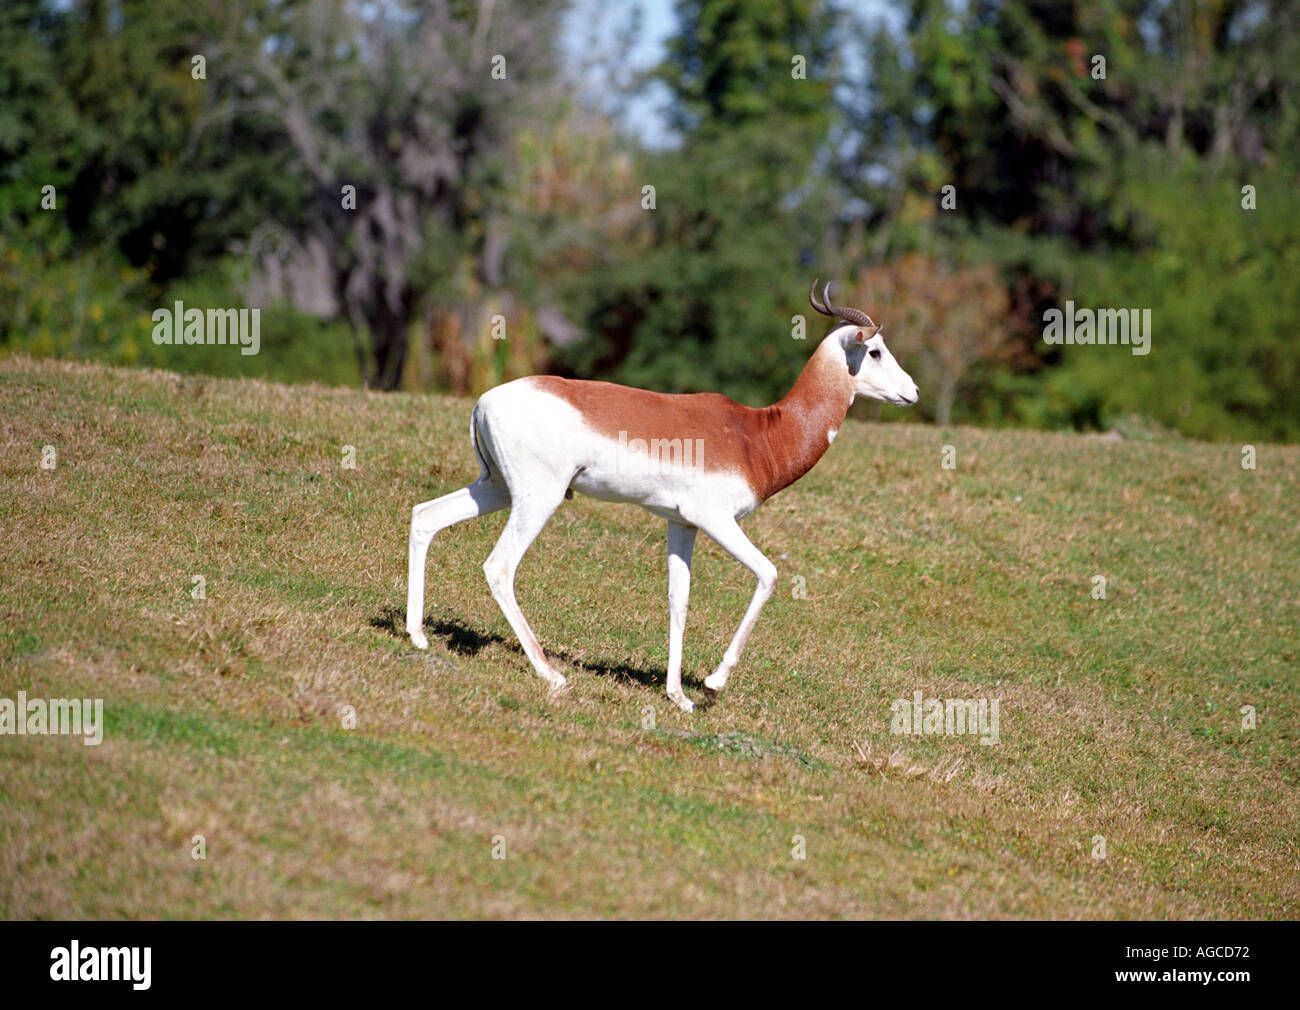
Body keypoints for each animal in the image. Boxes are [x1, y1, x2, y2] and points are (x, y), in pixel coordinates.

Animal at [406, 281, 919, 711]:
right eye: (874, 350)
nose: (912, 391)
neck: (756, 436)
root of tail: (483, 401)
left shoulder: (681, 522)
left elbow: (679, 599)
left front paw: (678, 696)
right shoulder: (714, 519)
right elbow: (769, 574)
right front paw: (712, 684)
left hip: (494, 488)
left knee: (424, 516)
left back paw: (417, 636)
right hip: (538, 498)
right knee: (499, 567)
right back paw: (551, 675)